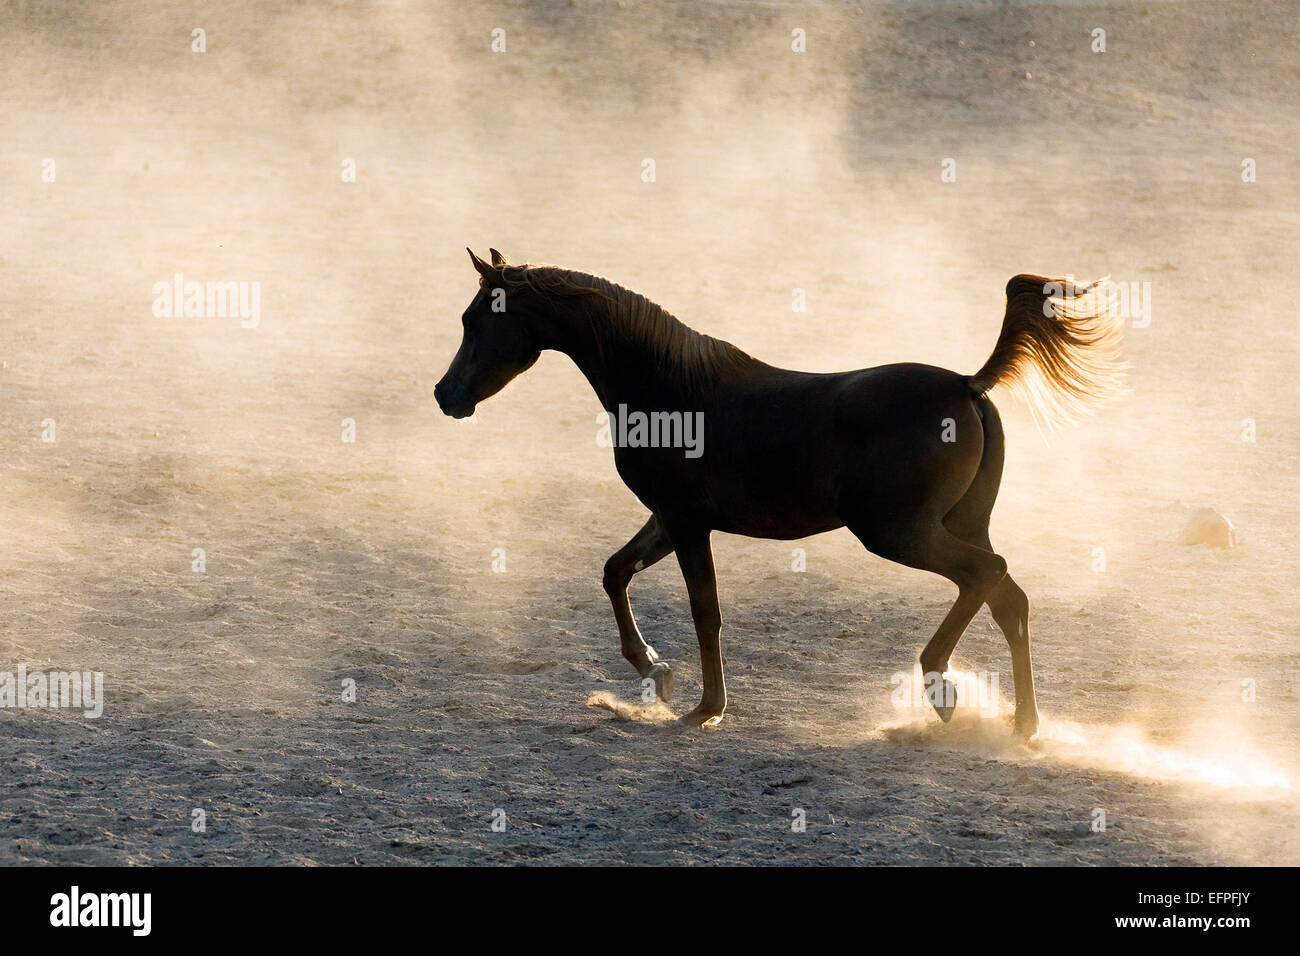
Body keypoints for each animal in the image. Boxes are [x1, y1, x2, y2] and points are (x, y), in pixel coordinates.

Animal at [436, 249, 1123, 737]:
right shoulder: (669, 518)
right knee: (1008, 597)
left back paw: (941, 689)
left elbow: (705, 611)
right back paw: (1022, 724)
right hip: (955, 523)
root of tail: (968, 386)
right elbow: (614, 572)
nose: (446, 396)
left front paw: (707, 707)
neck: (669, 387)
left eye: (475, 321)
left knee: (985, 575)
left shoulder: (686, 522)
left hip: (898, 531)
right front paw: (656, 671)